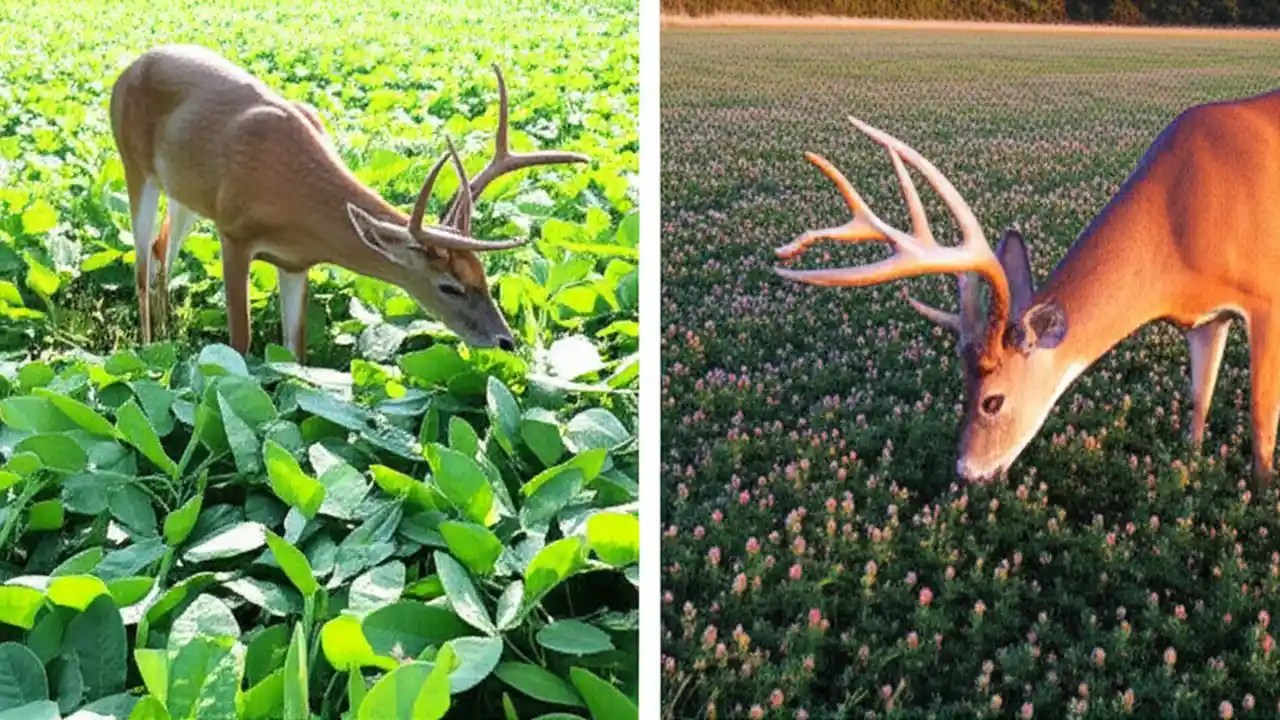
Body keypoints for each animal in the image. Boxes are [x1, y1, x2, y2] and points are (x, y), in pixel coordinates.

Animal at [109, 45, 586, 362]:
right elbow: (239, 345)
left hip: (184, 194)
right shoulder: (234, 235)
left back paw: (168, 335)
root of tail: (130, 66)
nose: (506, 341)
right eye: (449, 286)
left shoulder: (295, 263)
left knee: (161, 253)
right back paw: (149, 350)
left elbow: (296, 353)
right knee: (139, 266)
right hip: (134, 167)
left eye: (485, 276)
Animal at [774, 92, 1280, 485]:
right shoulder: (1203, 317)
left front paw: (1259, 494)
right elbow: (1198, 402)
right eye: (962, 388)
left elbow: (1261, 418)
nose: (967, 474)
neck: (1180, 223)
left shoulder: (1265, 299)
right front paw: (1189, 471)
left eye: (992, 400)